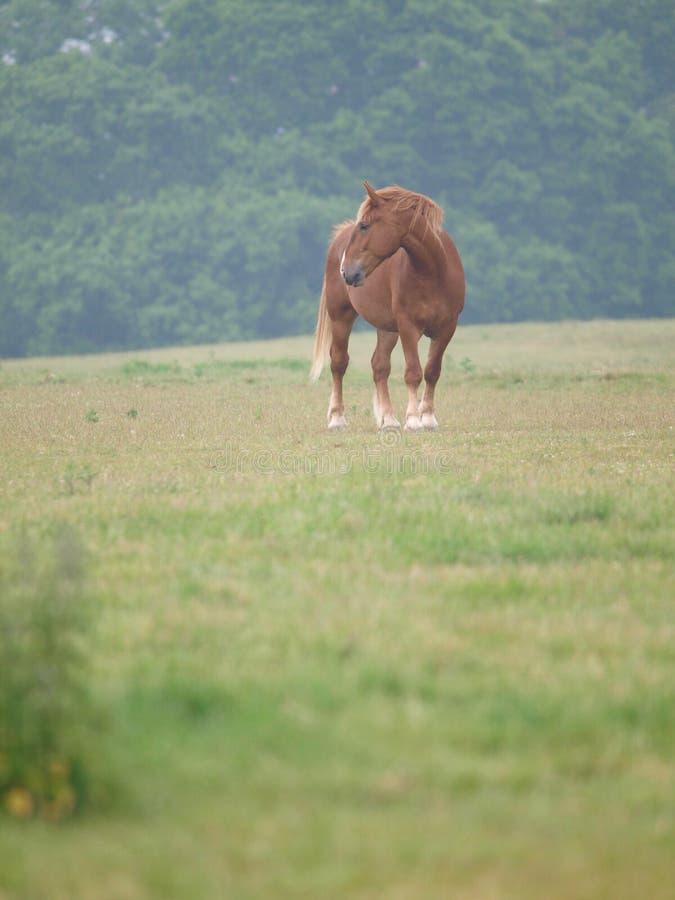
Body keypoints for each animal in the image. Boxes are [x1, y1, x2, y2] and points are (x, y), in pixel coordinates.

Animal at [311, 181, 465, 431]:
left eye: (364, 226)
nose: (346, 271)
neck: (433, 273)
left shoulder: (447, 328)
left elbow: (432, 371)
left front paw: (428, 417)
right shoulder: (408, 327)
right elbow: (413, 372)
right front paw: (413, 419)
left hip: (387, 329)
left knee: (379, 366)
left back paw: (389, 419)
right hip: (341, 317)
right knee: (339, 363)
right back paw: (337, 418)